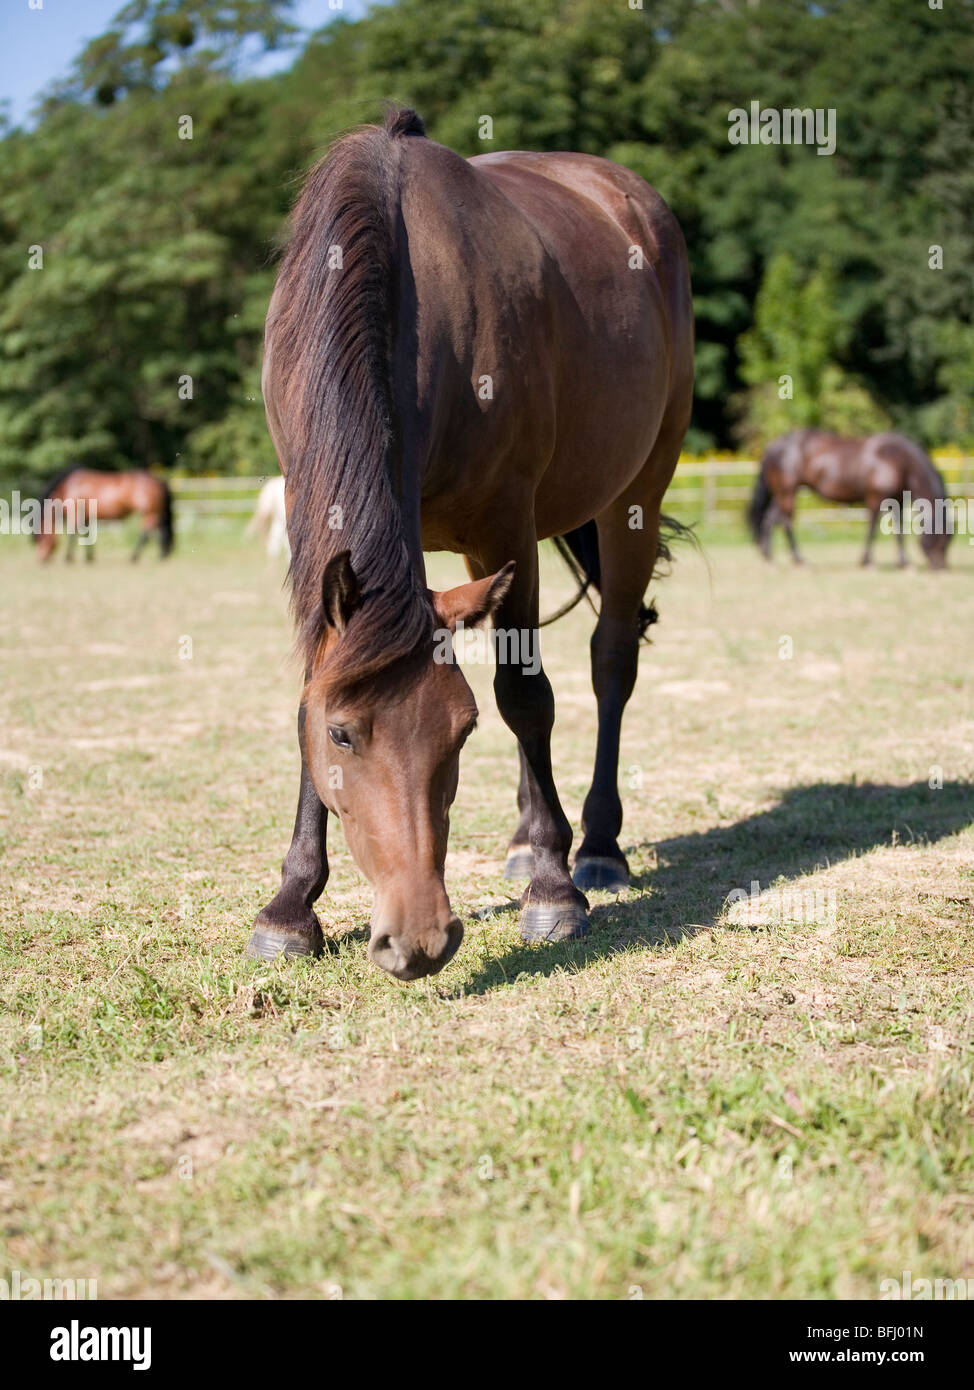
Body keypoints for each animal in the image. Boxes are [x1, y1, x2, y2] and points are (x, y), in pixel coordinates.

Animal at [35, 468, 174, 562]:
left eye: (40, 539)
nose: (41, 559)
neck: (69, 486)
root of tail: (159, 480)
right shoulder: (85, 516)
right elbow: (86, 534)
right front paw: (89, 558)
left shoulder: (74, 512)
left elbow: (73, 534)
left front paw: (68, 558)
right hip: (154, 513)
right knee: (159, 531)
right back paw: (161, 555)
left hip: (150, 512)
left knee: (147, 533)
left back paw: (134, 557)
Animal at [248, 108, 694, 981]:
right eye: (343, 733)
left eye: (460, 732)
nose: (419, 940)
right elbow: (311, 687)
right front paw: (292, 905)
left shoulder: (504, 525)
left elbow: (524, 696)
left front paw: (555, 892)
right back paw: (526, 839)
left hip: (633, 497)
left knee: (610, 661)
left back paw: (595, 846)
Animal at [748, 429, 952, 569]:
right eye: (942, 537)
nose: (941, 566)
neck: (898, 461)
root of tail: (772, 447)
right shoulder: (875, 499)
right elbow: (872, 529)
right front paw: (866, 560)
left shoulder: (897, 502)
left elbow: (899, 530)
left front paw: (903, 562)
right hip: (787, 492)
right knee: (786, 521)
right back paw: (799, 558)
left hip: (781, 494)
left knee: (770, 520)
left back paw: (769, 556)